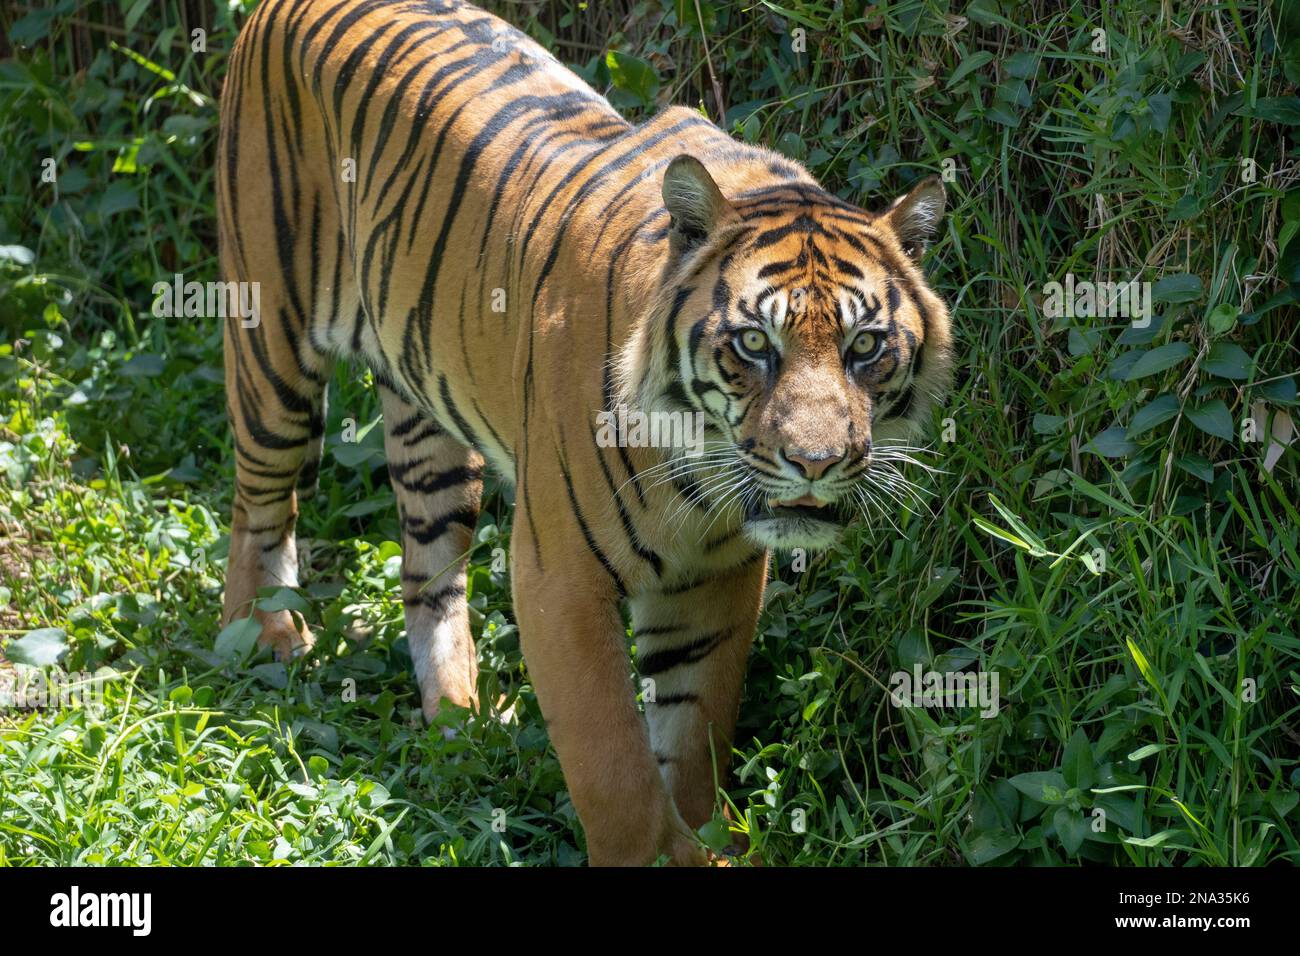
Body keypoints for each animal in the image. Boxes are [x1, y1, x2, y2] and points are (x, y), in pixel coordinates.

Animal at [217, 0, 953, 865]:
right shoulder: (558, 575)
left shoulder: (715, 581)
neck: (696, 477)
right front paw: (655, 849)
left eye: (864, 347)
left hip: (430, 431)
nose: (816, 463)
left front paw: (703, 844)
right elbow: (614, 770)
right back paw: (262, 639)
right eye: (752, 344)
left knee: (427, 573)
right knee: (257, 504)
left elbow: (694, 735)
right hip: (270, 344)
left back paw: (461, 722)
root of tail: (272, 13)